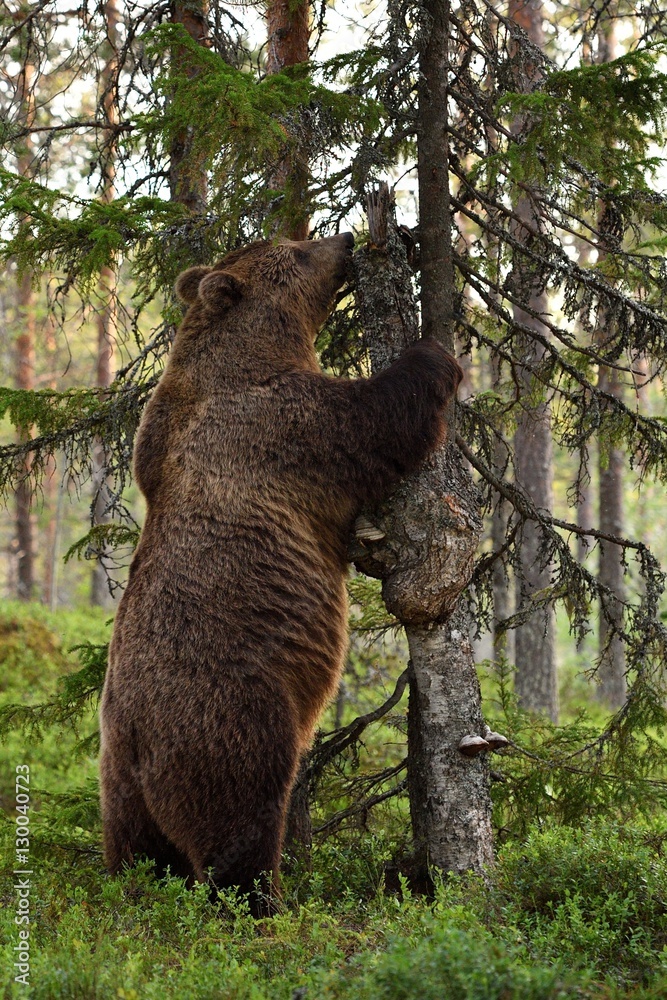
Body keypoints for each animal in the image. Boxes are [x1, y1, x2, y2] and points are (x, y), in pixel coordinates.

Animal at [99, 232, 462, 915]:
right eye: (296, 251)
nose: (343, 238)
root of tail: (136, 743)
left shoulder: (161, 433)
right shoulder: (280, 424)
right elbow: (376, 422)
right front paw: (433, 351)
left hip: (117, 779)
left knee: (138, 849)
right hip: (231, 714)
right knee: (243, 812)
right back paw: (264, 900)